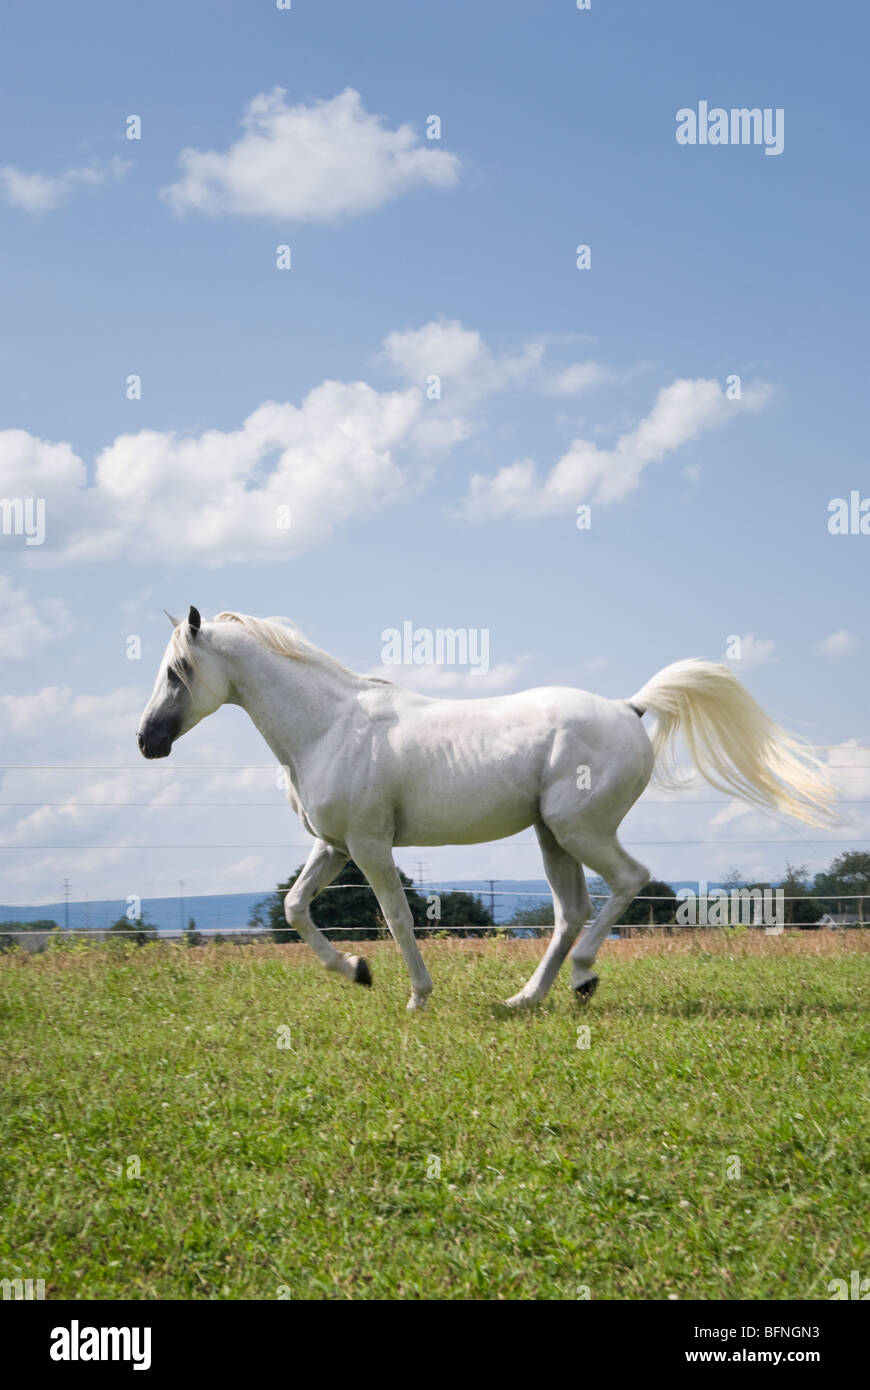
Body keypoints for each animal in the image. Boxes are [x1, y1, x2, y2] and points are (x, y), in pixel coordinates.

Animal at [137, 607, 835, 1012]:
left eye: (177, 671)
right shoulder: (333, 846)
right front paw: (357, 972)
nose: (147, 741)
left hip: (579, 829)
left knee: (626, 882)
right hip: (553, 837)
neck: (330, 726)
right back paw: (527, 998)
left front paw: (416, 997)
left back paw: (582, 979)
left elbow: (398, 919)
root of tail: (629, 706)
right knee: (570, 911)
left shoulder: (369, 846)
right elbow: (295, 907)